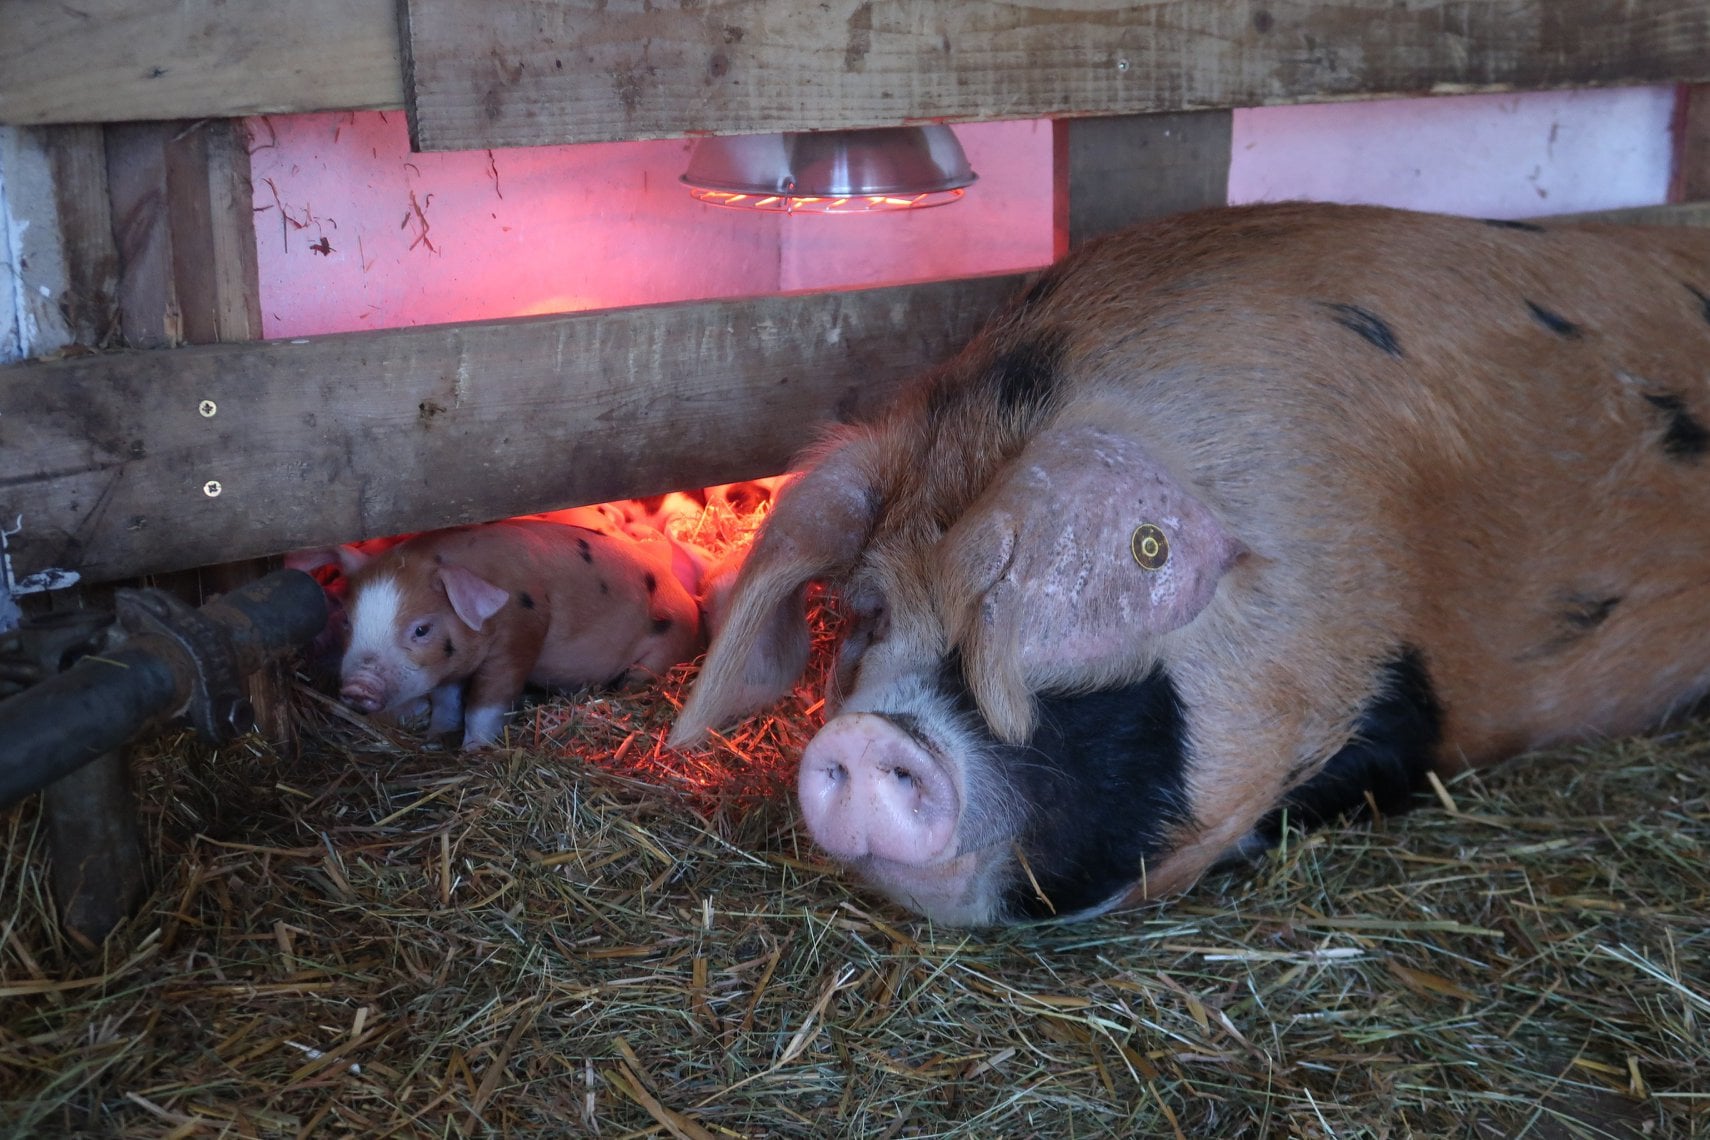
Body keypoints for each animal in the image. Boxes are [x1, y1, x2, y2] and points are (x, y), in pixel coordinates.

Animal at [337, 518, 702, 748]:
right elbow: (446, 701)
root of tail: (689, 602)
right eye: (348, 623)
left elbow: (485, 703)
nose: (356, 688)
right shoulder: (450, 664)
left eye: (421, 629)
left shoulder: (521, 634)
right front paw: (434, 740)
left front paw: (474, 750)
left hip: (658, 654)